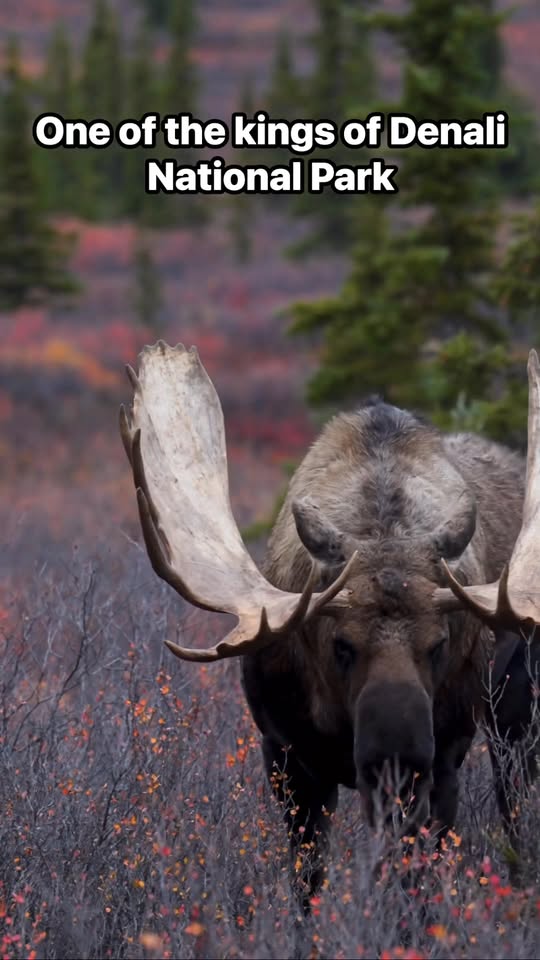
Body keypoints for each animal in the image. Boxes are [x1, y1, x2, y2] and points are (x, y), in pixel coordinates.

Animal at [120, 341, 540, 902]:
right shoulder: (284, 755)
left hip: (514, 718)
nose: (397, 755)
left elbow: (414, 879)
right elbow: (308, 881)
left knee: (514, 816)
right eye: (342, 644)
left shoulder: (443, 760)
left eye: (439, 644)